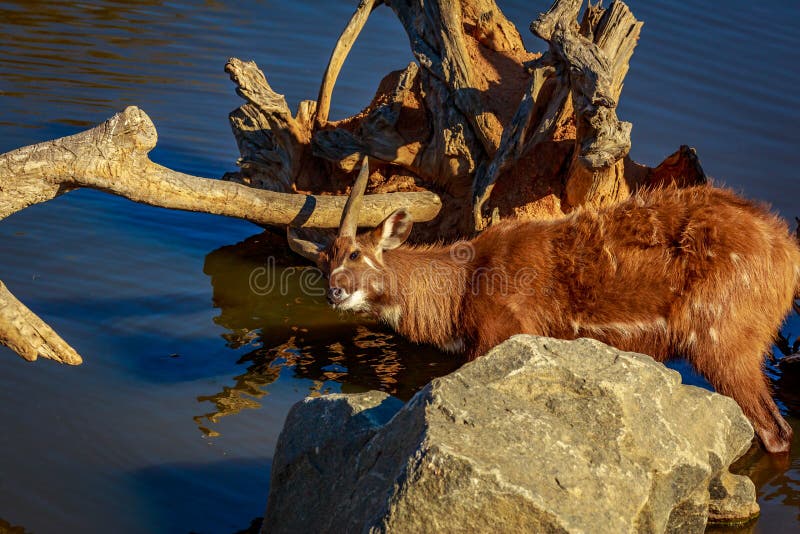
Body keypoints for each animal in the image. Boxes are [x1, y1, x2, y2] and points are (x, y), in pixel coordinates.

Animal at [288, 160, 799, 454]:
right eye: (322, 263)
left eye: (356, 253)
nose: (334, 293)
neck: (465, 284)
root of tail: (789, 252)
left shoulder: (500, 335)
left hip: (723, 344)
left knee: (776, 431)